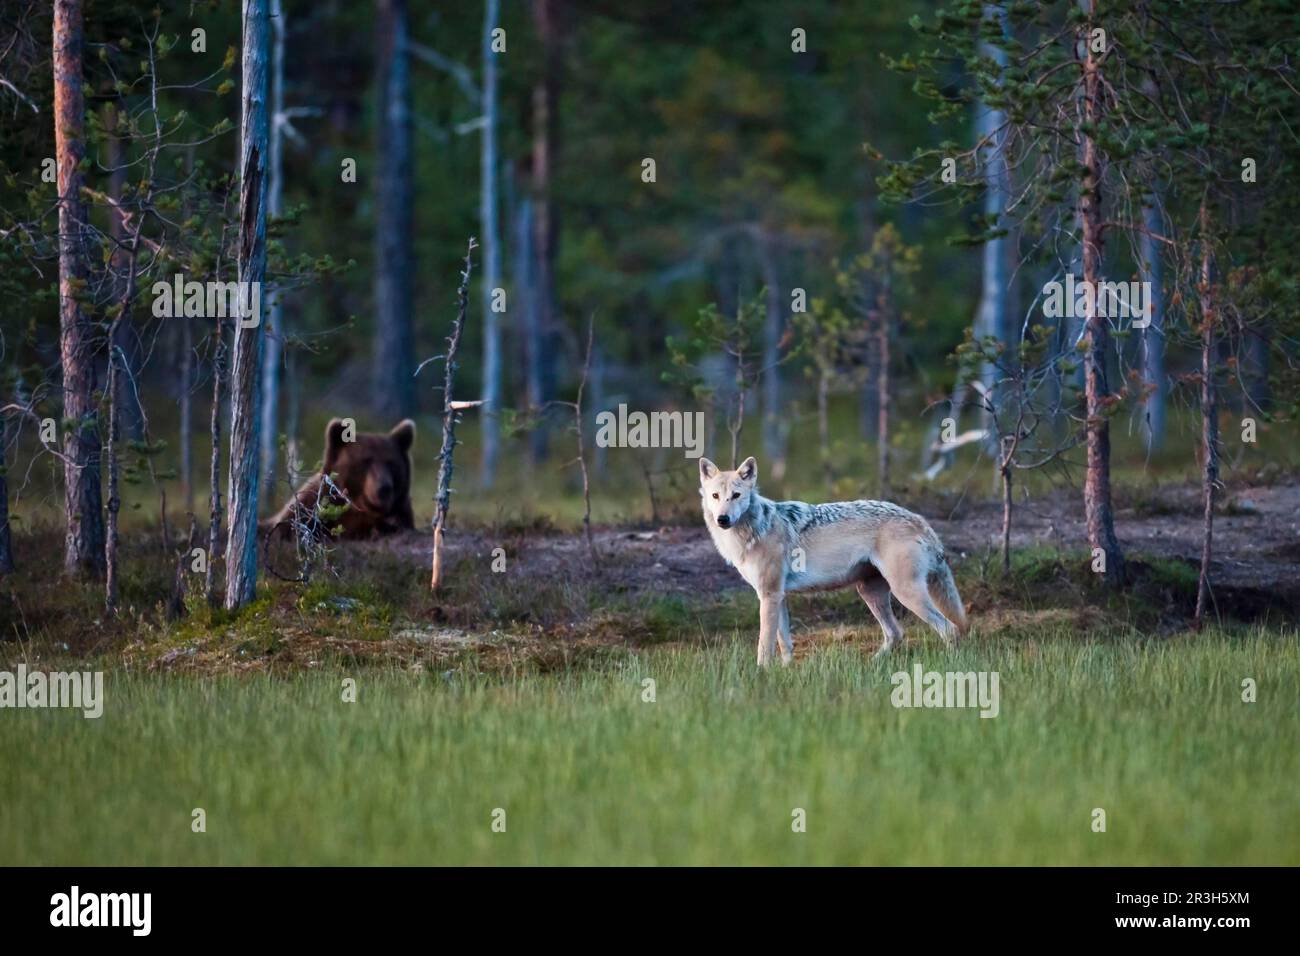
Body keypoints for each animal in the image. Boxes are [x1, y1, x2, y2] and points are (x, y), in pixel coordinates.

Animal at [699, 456, 968, 665]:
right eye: (715, 496)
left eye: (736, 495)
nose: (723, 519)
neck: (753, 530)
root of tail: (918, 518)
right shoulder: (778, 596)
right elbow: (785, 643)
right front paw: (785, 673)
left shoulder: (769, 595)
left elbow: (764, 646)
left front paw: (761, 675)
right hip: (870, 593)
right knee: (896, 633)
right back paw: (871, 665)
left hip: (906, 593)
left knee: (950, 629)